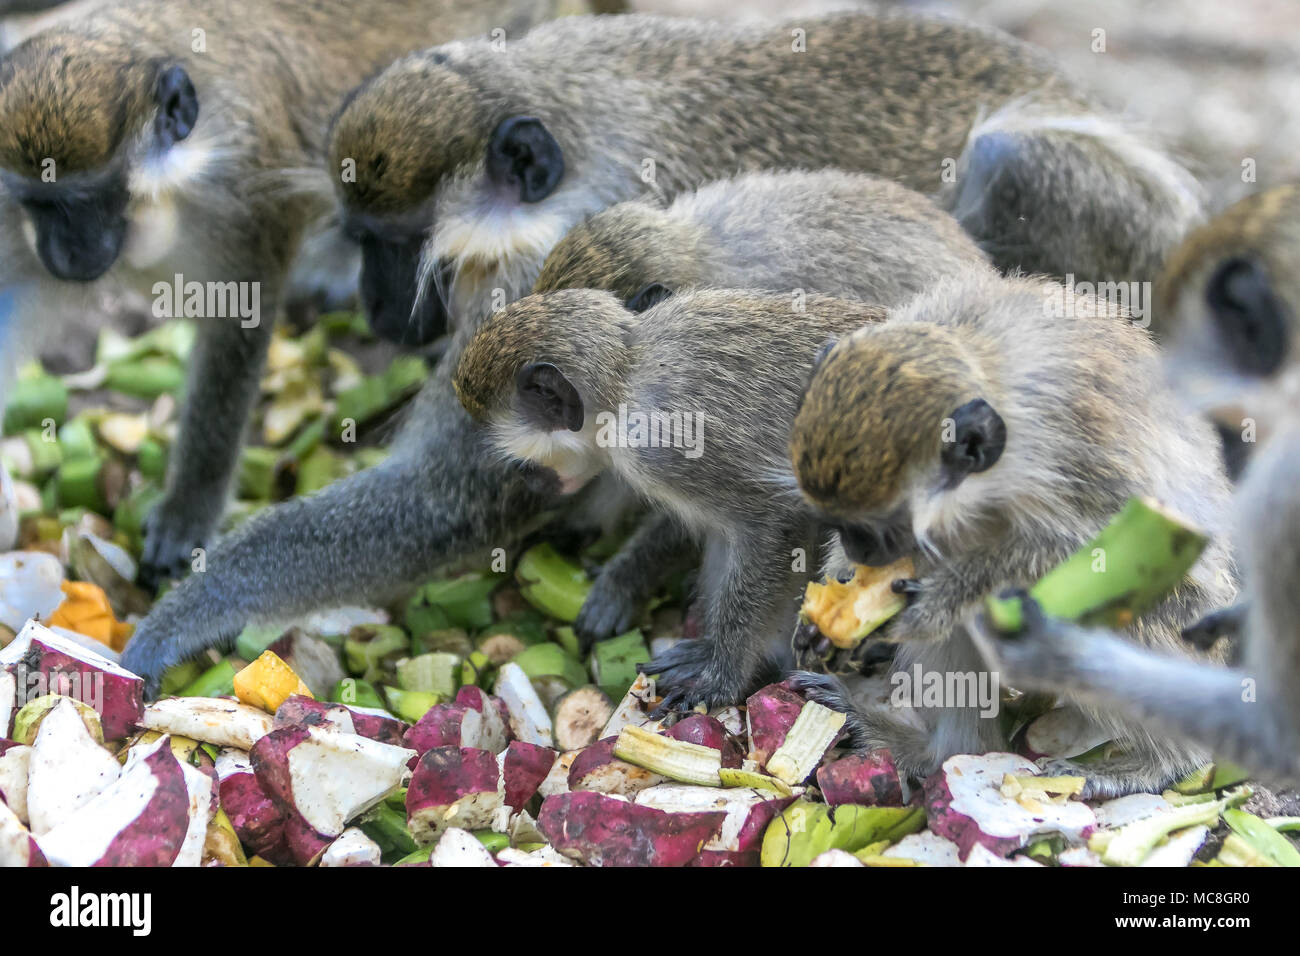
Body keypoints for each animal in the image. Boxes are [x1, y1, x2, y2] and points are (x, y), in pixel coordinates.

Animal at [0, 0, 572, 590]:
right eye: (38, 202)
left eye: (86, 199)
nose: (62, 255)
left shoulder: (245, 191)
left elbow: (237, 331)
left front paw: (188, 512)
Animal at [450, 287, 890, 709]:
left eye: (525, 468)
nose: (536, 487)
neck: (627, 375)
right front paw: (618, 578)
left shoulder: (661, 448)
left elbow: (774, 523)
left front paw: (723, 677)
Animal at [784, 270, 1238, 797]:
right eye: (841, 525)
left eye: (878, 531)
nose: (859, 552)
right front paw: (831, 611)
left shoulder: (1077, 452)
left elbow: (1091, 548)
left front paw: (939, 599)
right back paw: (934, 748)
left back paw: (1161, 764)